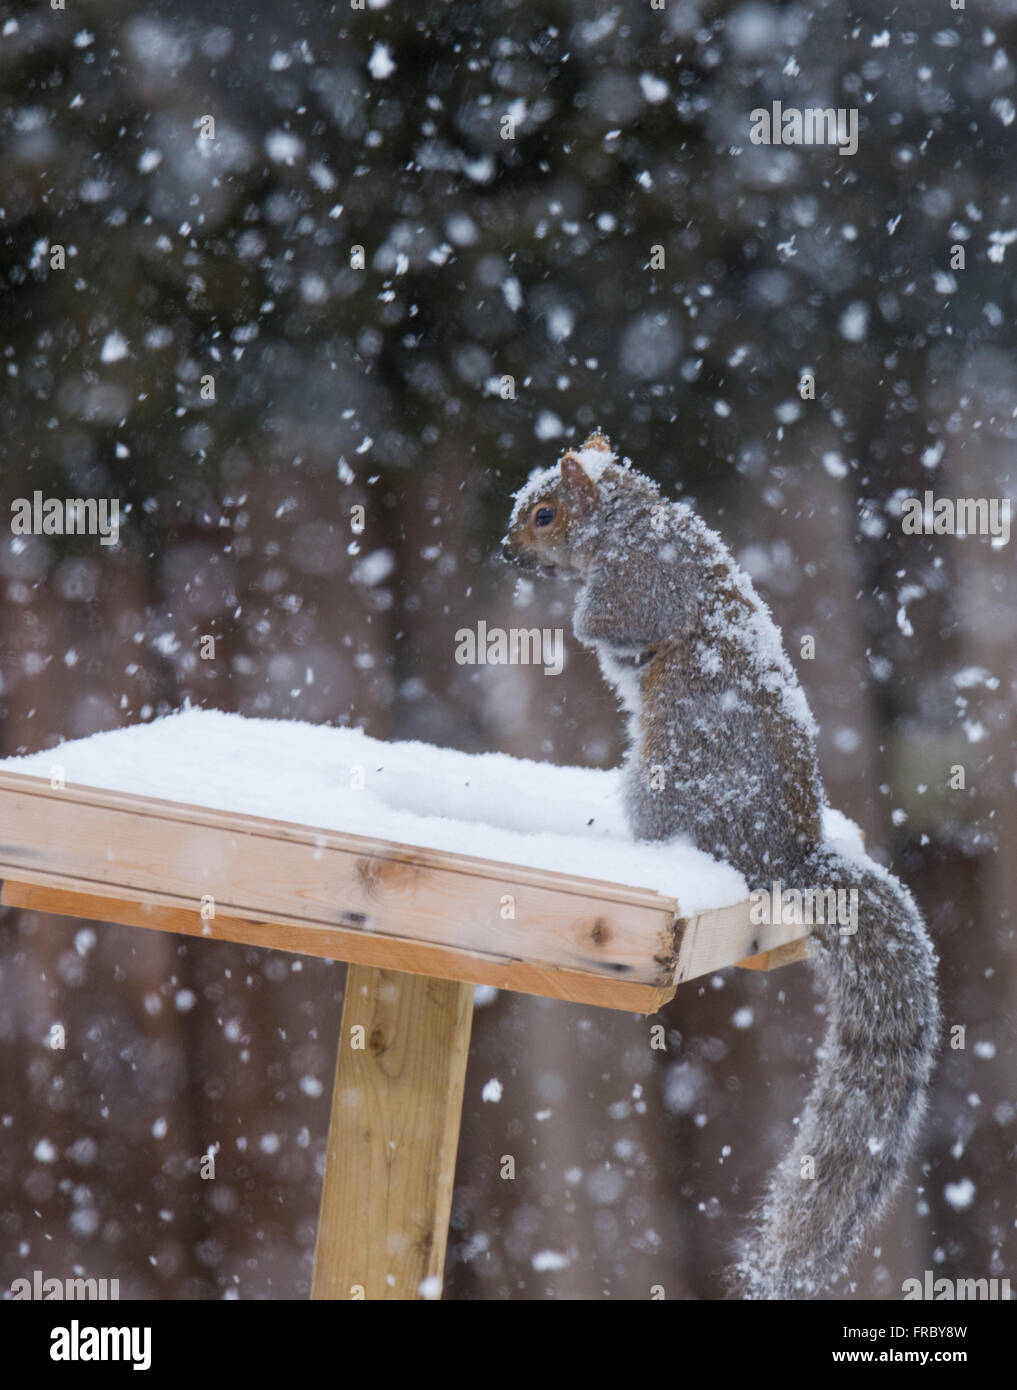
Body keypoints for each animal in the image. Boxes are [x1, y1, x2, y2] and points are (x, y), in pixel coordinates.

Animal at [501, 432, 941, 1300]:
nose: (505, 550)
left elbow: (608, 618)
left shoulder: (641, 579)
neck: (631, 521)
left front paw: (580, 620)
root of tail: (787, 854)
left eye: (543, 513)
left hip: (666, 779)